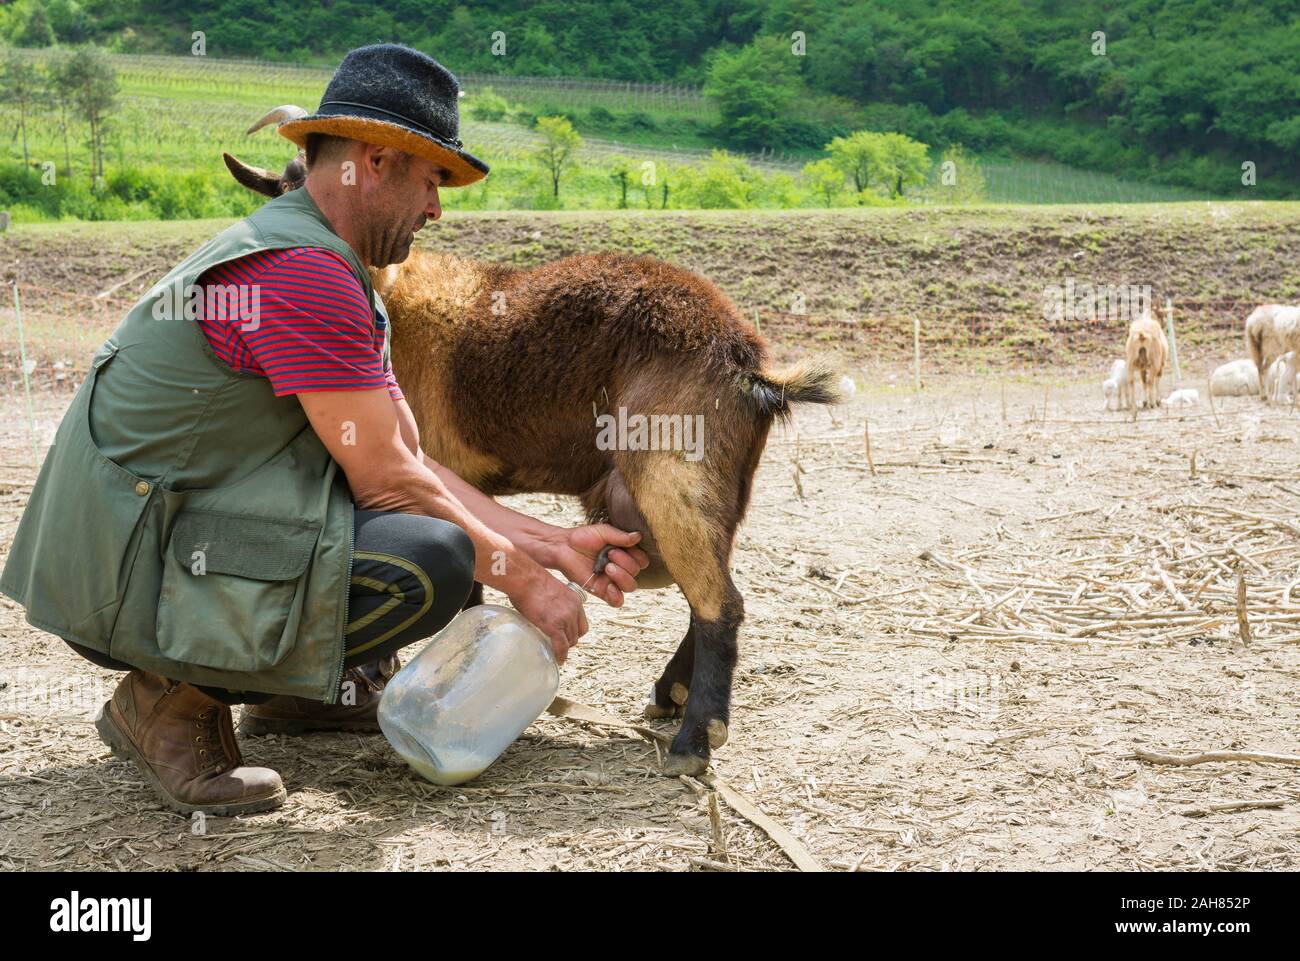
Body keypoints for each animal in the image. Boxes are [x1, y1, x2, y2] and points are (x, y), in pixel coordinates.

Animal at [224, 108, 840, 777]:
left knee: (719, 602)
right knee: (713, 590)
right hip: (712, 490)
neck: (398, 292)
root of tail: (751, 366)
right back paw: (670, 695)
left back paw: (695, 738)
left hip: (674, 472)